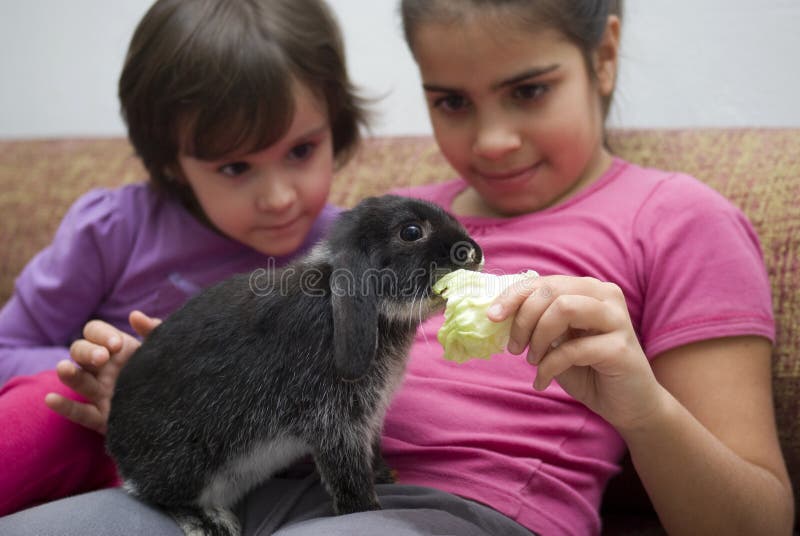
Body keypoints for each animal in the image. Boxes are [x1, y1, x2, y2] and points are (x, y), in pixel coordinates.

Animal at [106, 194, 483, 536]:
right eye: (410, 232)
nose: (472, 252)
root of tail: (119, 451)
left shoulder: (369, 420)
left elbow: (371, 451)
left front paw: (385, 475)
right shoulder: (335, 425)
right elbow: (348, 477)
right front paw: (366, 509)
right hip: (188, 464)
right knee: (159, 496)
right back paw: (211, 523)